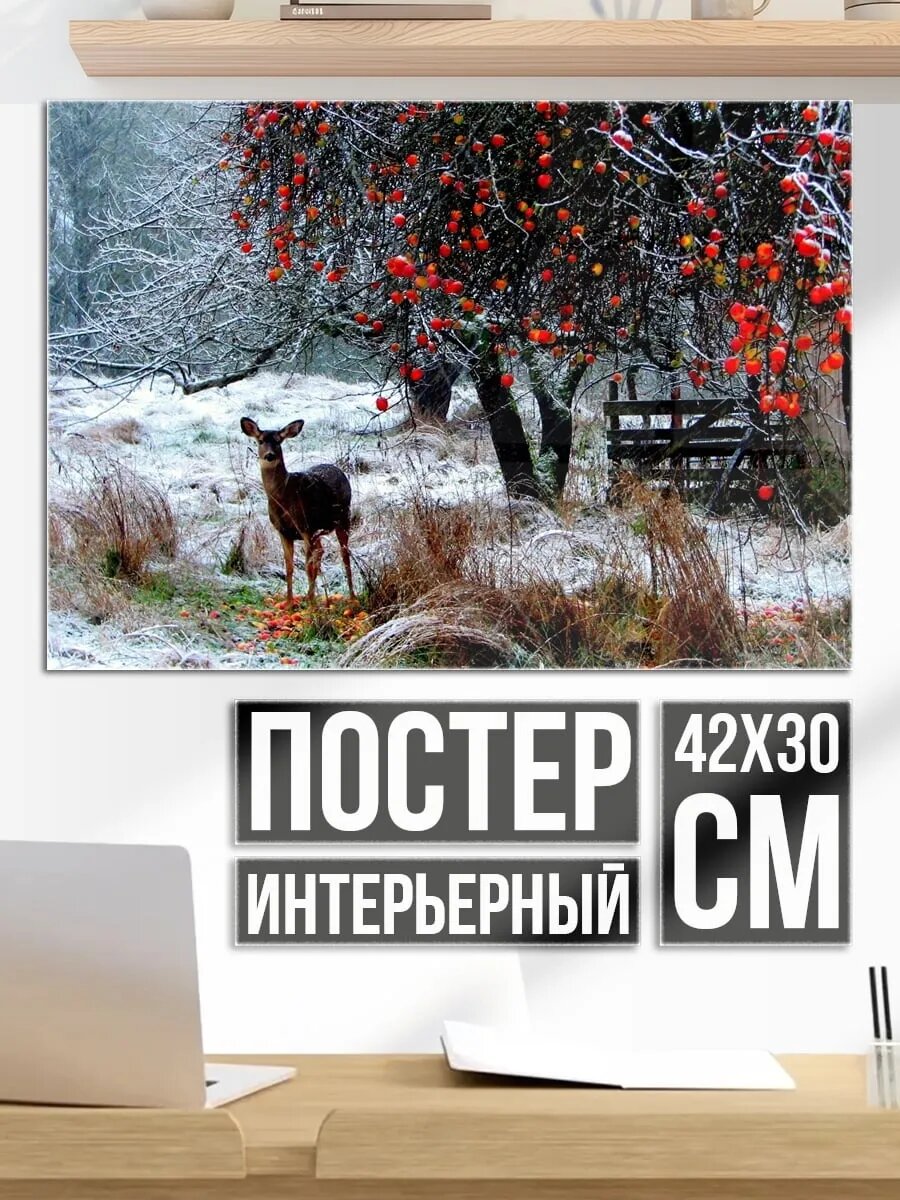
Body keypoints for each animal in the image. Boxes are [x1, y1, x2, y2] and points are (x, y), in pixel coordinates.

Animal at [240, 416, 355, 609]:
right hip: (319, 530)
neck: (283, 498)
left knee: (344, 554)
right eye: (260, 441)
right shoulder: (283, 531)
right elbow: (289, 567)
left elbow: (307, 567)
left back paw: (352, 597)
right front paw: (289, 603)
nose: (269, 455)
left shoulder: (304, 525)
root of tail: (338, 469)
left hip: (343, 518)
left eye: (278, 441)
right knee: (320, 550)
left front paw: (312, 605)